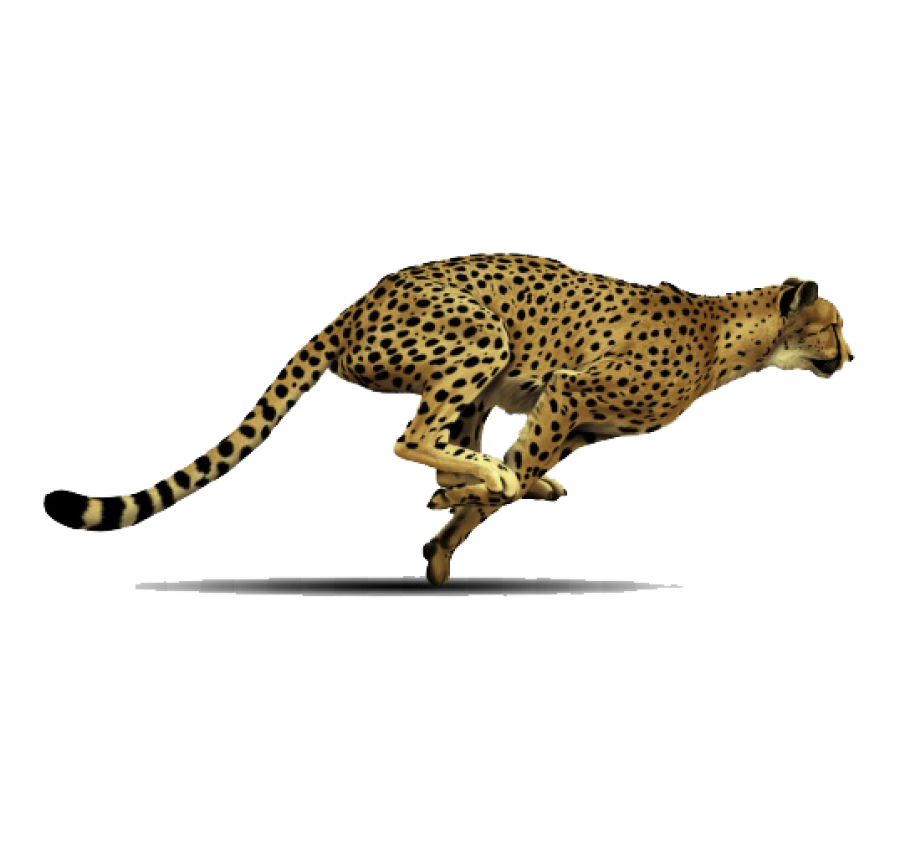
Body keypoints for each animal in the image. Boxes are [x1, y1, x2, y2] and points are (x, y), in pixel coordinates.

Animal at [44, 253, 853, 585]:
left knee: (447, 441)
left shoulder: (572, 419)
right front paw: (475, 505)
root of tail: (354, 305)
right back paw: (486, 477)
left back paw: (476, 480)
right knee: (410, 438)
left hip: (483, 381)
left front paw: (444, 538)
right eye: (833, 326)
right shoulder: (568, 393)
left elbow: (510, 477)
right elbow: (515, 469)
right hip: (480, 337)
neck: (735, 336)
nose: (850, 355)